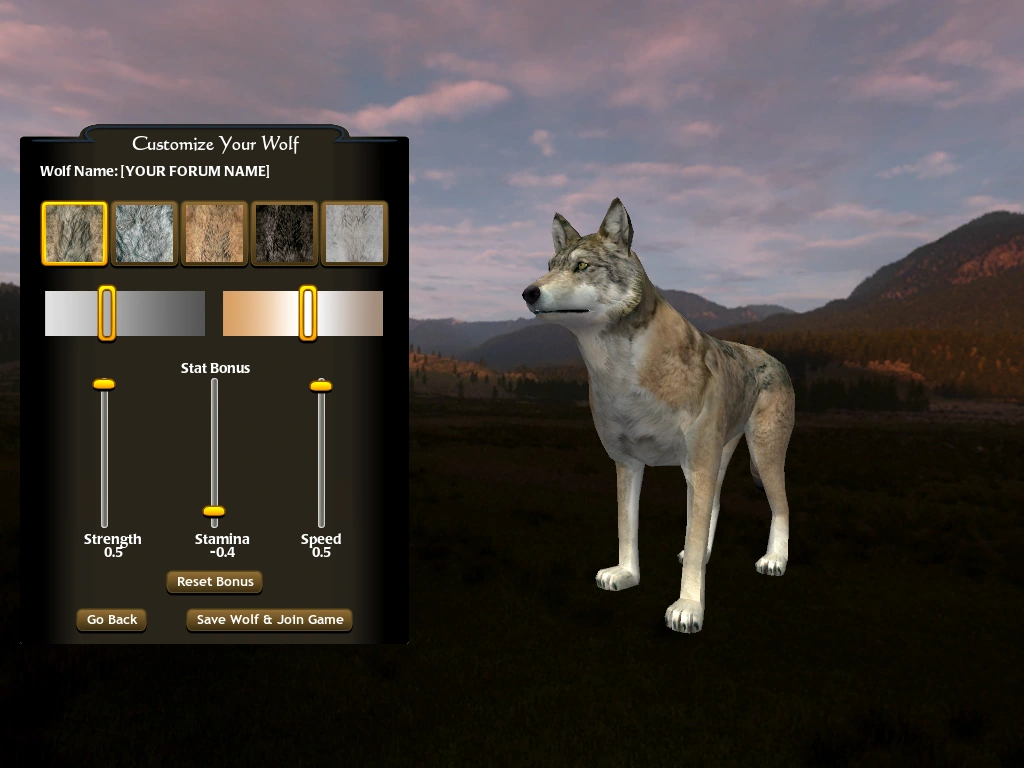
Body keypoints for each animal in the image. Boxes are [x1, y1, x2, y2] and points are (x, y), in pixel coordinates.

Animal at [522, 199, 795, 633]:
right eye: (550, 264)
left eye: (582, 266)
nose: (528, 292)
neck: (622, 372)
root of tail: (776, 360)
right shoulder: (628, 464)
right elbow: (628, 528)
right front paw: (626, 574)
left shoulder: (695, 465)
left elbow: (692, 536)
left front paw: (688, 607)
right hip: (720, 457)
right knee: (716, 505)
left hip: (763, 456)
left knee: (781, 505)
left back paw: (775, 560)